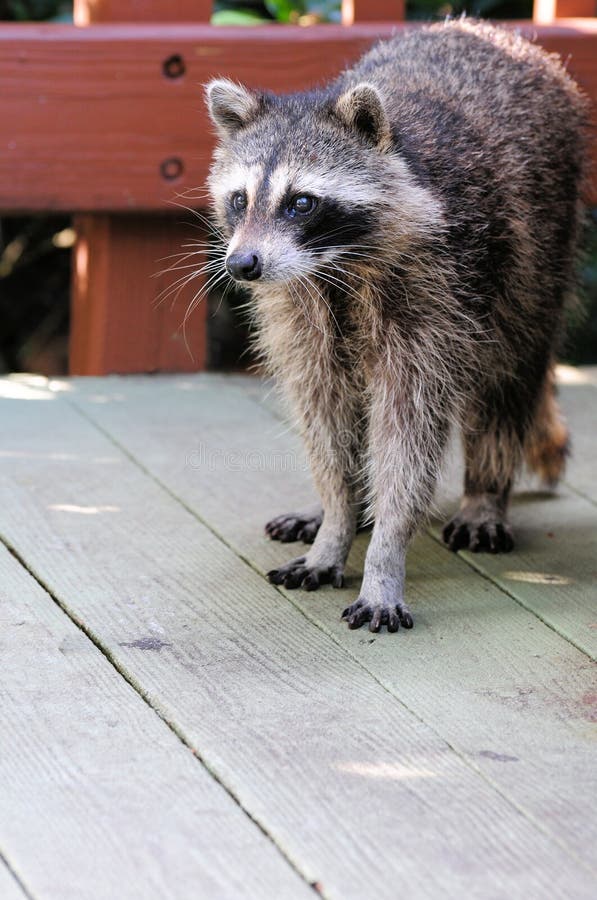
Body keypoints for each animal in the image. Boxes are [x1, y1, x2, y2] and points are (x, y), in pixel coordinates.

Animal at [205, 19, 589, 633]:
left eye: (301, 203)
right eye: (240, 199)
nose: (242, 265)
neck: (334, 267)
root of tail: (487, 31)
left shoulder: (439, 292)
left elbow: (409, 431)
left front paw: (385, 552)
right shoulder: (299, 309)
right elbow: (323, 411)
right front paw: (337, 517)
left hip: (538, 251)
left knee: (508, 375)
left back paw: (485, 492)